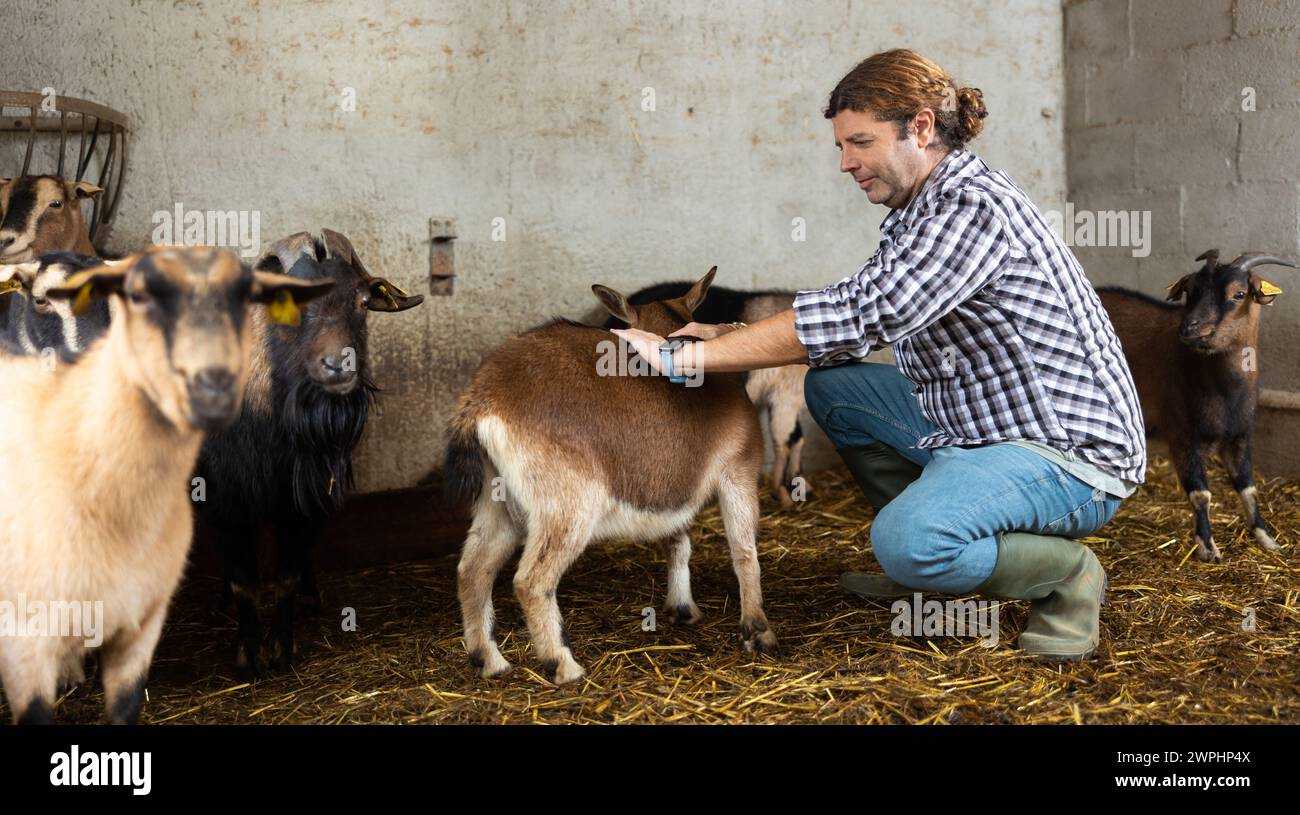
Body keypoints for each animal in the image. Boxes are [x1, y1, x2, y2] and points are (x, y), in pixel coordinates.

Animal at [196, 229, 424, 677]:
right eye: (289, 302)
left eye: (362, 301)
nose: (339, 365)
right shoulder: (225, 502)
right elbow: (243, 582)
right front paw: (249, 655)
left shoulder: (308, 501)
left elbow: (285, 576)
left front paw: (282, 649)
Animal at [445, 267, 778, 686]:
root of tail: (484, 399)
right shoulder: (739, 469)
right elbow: (744, 550)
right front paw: (758, 631)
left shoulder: (671, 483)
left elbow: (678, 540)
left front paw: (682, 608)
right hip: (567, 501)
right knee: (531, 580)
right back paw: (562, 664)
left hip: (499, 500)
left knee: (472, 569)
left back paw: (489, 660)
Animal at [1097, 249, 1294, 562]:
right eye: (1190, 290)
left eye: (1239, 293)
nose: (1189, 327)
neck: (1225, 392)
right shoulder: (1183, 436)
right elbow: (1200, 494)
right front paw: (1208, 548)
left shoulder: (1239, 436)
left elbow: (1248, 487)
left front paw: (1267, 539)